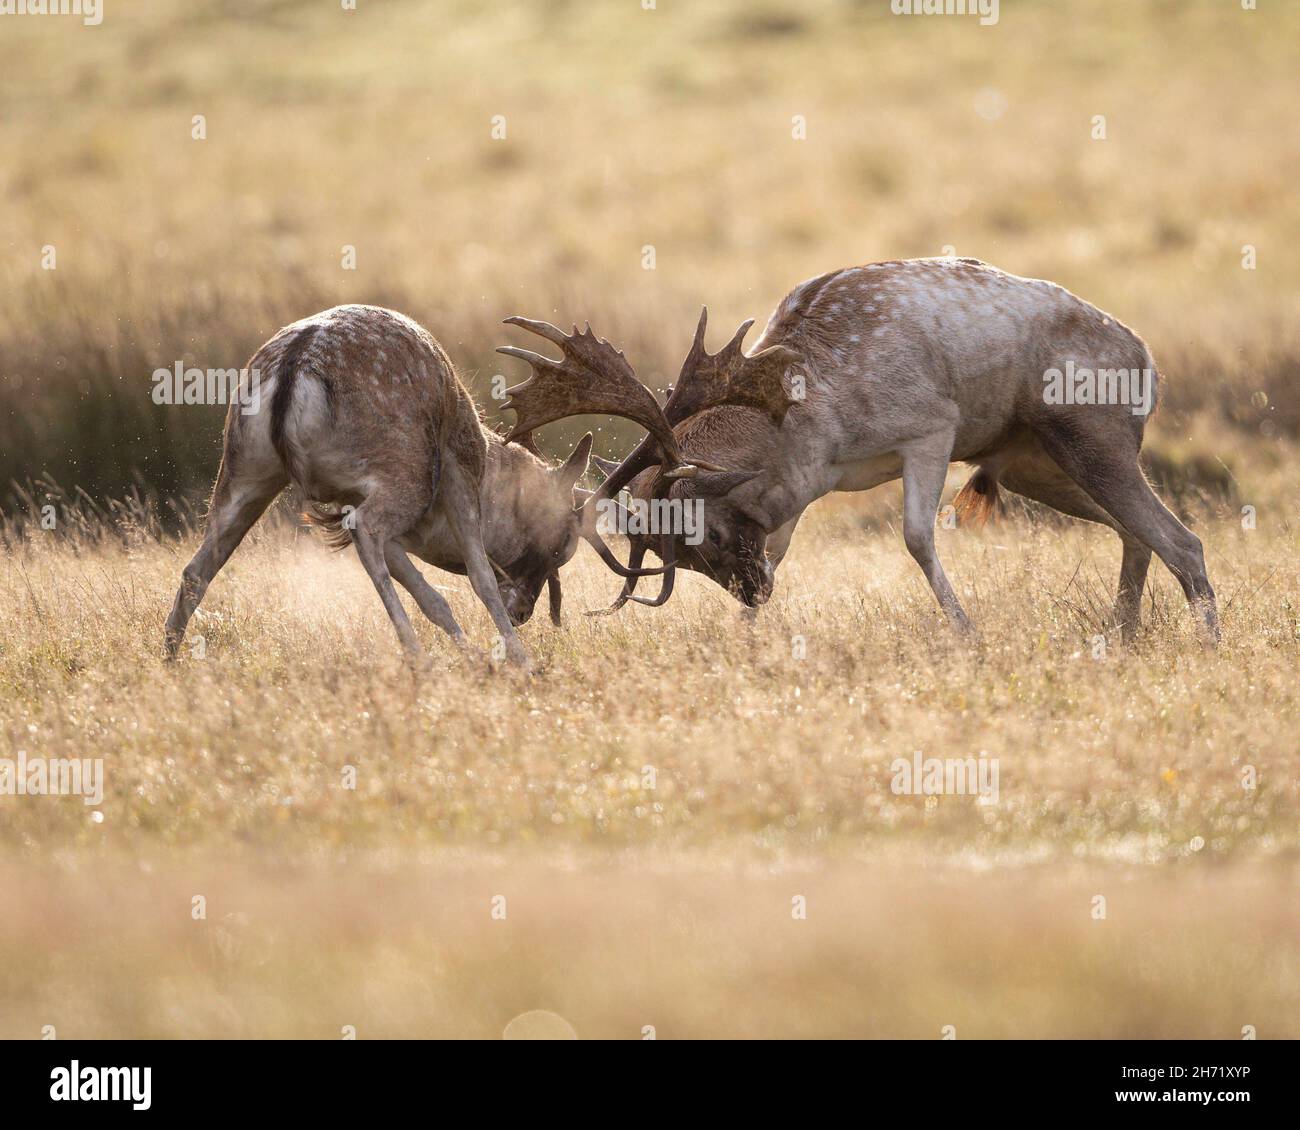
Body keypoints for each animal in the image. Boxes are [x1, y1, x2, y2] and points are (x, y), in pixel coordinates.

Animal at [163, 304, 711, 668]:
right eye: (562, 546)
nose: (527, 611)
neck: (491, 463)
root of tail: (294, 363)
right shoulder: (456, 480)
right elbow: (481, 576)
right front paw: (517, 658)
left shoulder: (401, 530)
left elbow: (432, 595)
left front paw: (475, 654)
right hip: (398, 473)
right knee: (365, 532)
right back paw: (415, 654)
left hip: (245, 470)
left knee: (196, 568)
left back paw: (169, 658)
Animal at [500, 258, 1219, 644]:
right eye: (692, 556)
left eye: (705, 534)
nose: (755, 592)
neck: (817, 427)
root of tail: (1148, 361)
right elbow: (786, 548)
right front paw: (747, 645)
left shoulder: (931, 427)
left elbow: (917, 538)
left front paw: (967, 632)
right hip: (1034, 463)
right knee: (1136, 534)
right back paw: (1121, 636)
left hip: (1094, 437)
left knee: (1181, 539)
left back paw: (1205, 646)